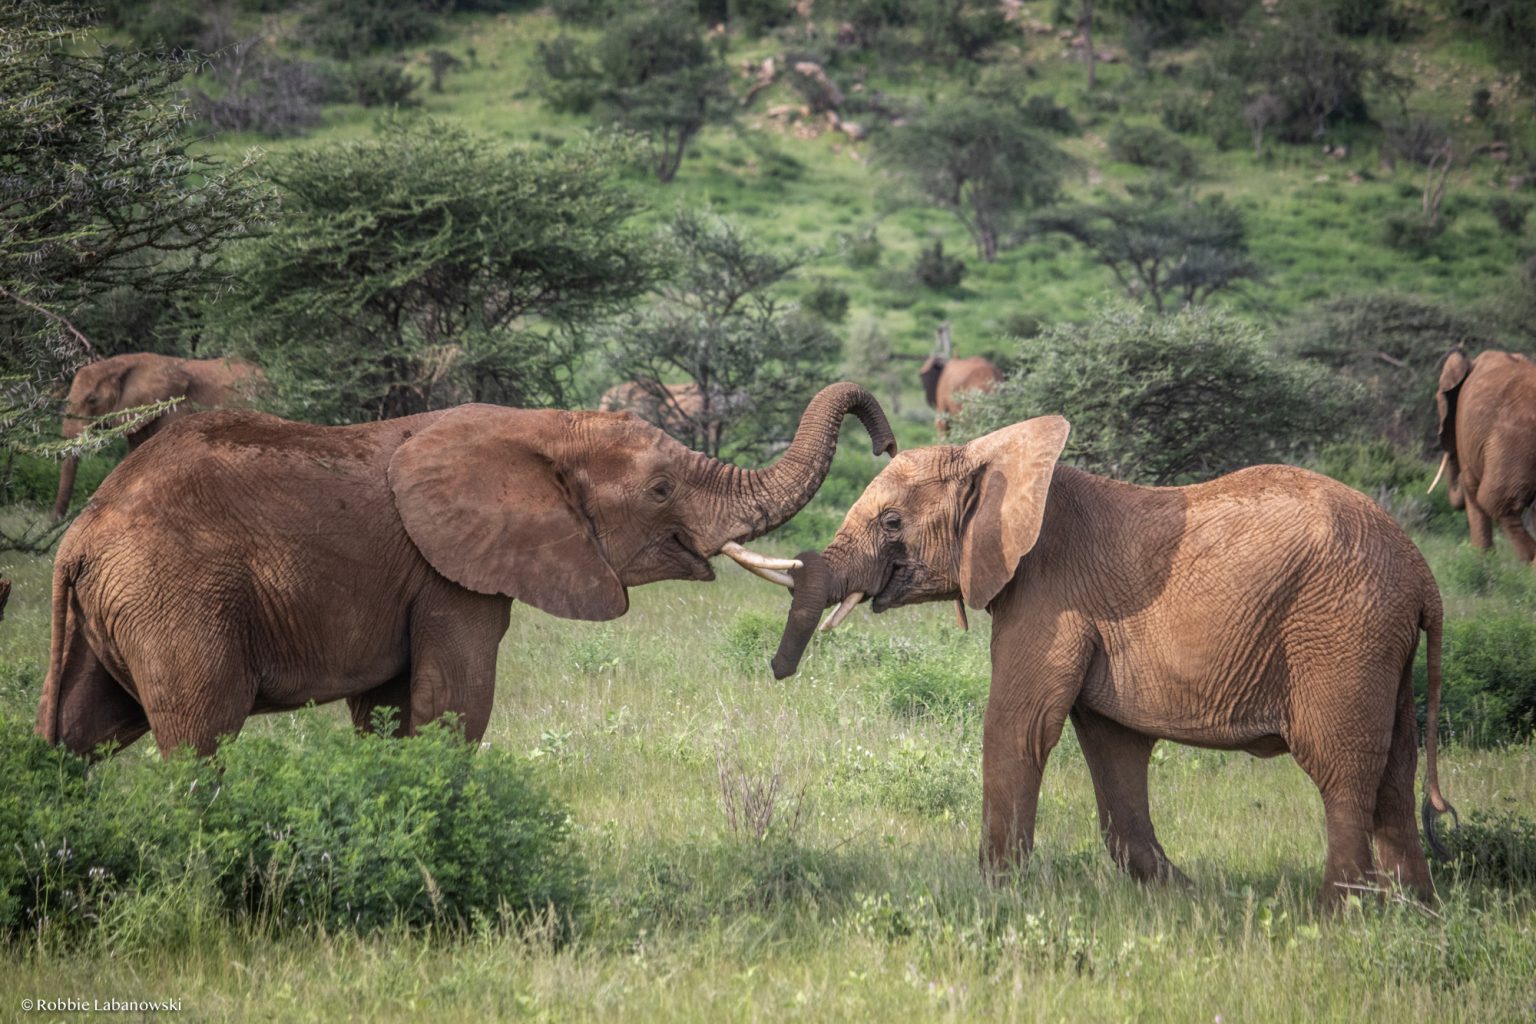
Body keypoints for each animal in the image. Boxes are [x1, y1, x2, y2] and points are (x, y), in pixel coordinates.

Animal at [38, 382, 895, 758]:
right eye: (660, 491)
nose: (886, 442)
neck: (541, 428)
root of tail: (81, 536)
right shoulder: (447, 574)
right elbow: (454, 708)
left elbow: (387, 717)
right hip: (174, 598)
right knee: (198, 735)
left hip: (116, 607)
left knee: (76, 737)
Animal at [770, 416, 1456, 904]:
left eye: (891, 522)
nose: (780, 671)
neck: (998, 459)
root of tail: (1425, 577)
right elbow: (1113, 744)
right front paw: (1187, 898)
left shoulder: (1048, 597)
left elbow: (1018, 727)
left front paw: (997, 896)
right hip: (1379, 643)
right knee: (1394, 773)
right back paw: (1414, 912)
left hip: (1341, 631)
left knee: (1343, 769)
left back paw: (1341, 916)